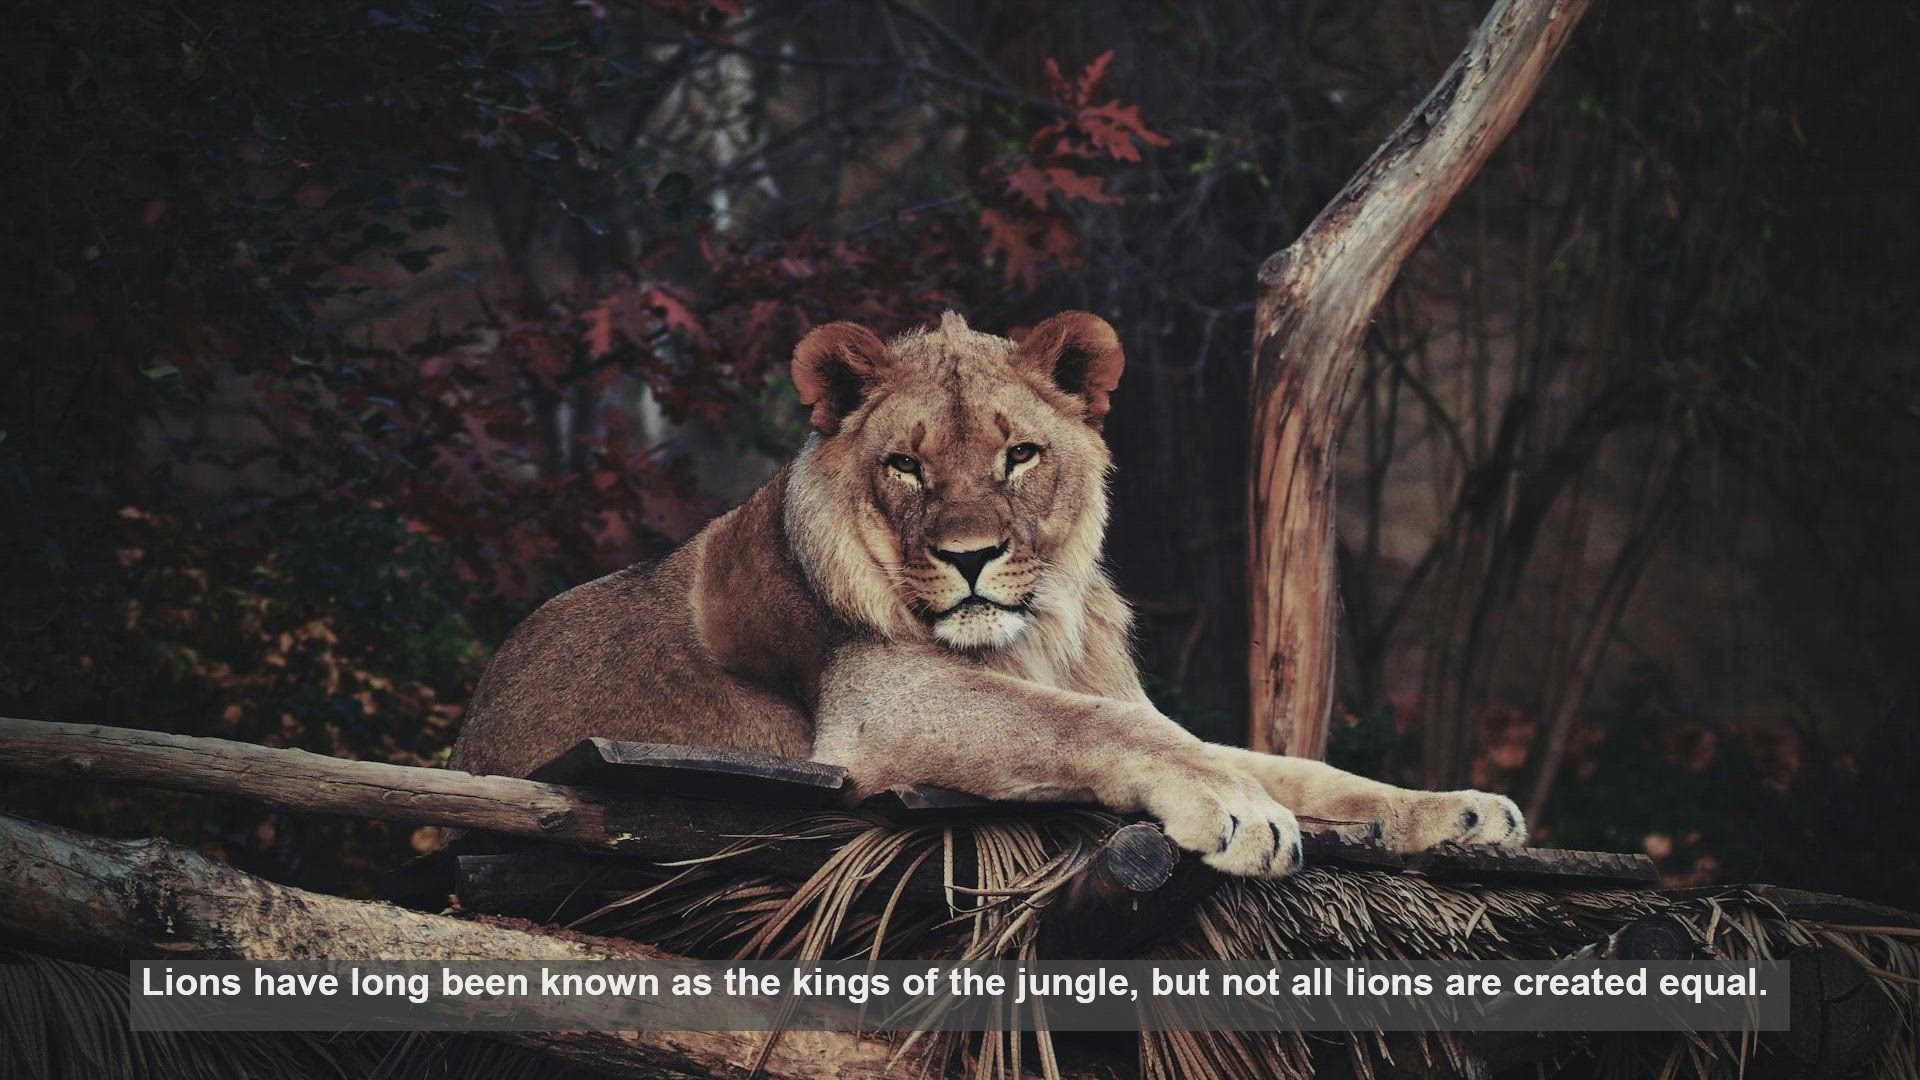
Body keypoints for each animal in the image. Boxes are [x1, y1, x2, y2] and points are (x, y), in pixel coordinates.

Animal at [449, 310, 1524, 876]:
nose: (970, 556)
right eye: (906, 466)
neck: (1032, 637)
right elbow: (1100, 730)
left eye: (1020, 455)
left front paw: (1458, 811)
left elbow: (1292, 764)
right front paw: (1235, 809)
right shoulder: (880, 709)